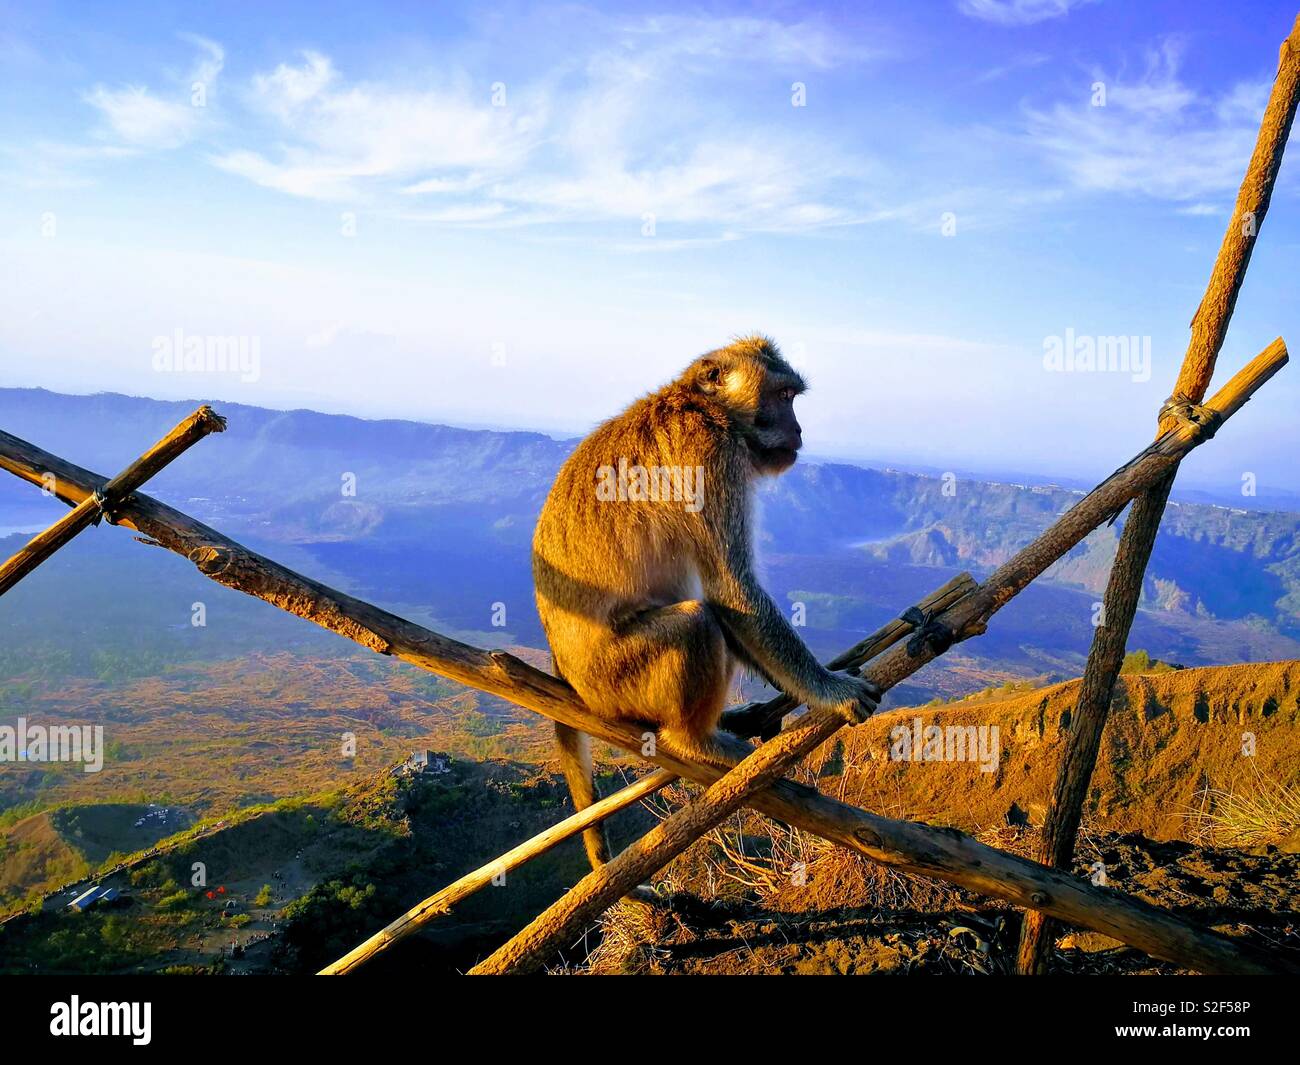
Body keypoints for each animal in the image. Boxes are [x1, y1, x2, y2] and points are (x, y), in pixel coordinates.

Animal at [532, 335, 881, 869]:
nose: (798, 428)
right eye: (783, 396)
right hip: (616, 682)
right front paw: (829, 689)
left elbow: (731, 609)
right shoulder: (711, 455)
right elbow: (731, 590)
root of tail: (566, 675)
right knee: (697, 621)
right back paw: (695, 741)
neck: (705, 409)